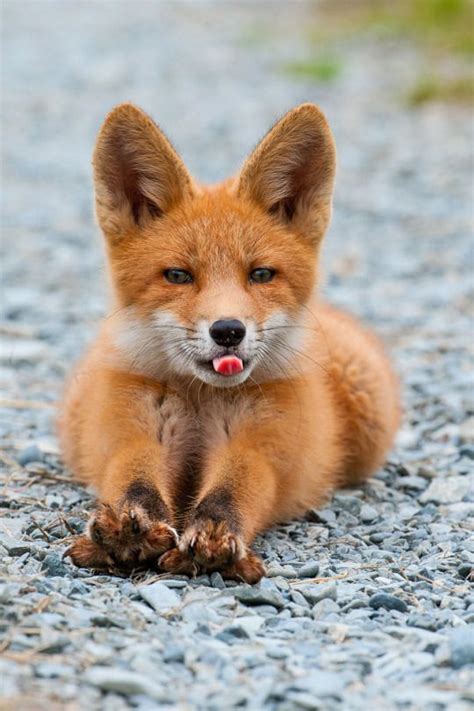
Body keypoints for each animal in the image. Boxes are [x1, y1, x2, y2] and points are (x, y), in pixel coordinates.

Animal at [60, 102, 400, 583]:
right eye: (178, 275)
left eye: (260, 274)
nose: (227, 331)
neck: (202, 401)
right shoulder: (129, 430)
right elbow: (133, 479)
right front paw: (128, 528)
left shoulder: (262, 446)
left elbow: (233, 490)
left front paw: (214, 536)